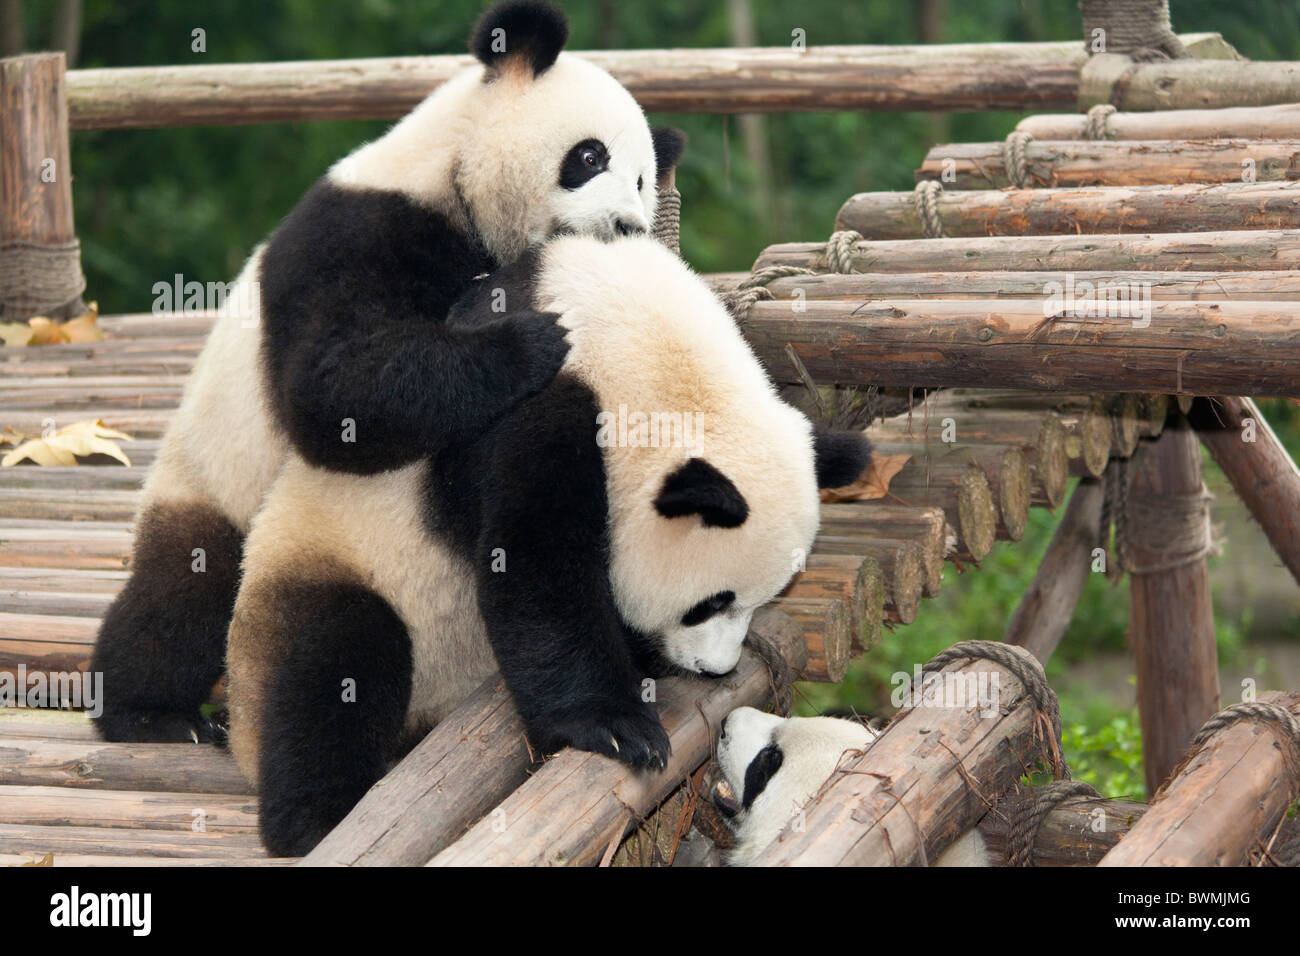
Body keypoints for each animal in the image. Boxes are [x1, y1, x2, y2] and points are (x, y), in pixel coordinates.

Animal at [90, 0, 687, 744]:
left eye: (643, 181)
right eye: (589, 156)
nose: (628, 225)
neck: (451, 170)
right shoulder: (364, 229)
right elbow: (333, 390)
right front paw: (529, 341)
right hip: (211, 479)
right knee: (183, 593)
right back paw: (150, 712)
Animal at [222, 234, 873, 855]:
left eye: (765, 599)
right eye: (710, 603)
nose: (715, 668)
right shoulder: (542, 411)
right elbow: (535, 566)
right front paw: (614, 726)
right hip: (326, 567)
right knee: (335, 665)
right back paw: (315, 819)